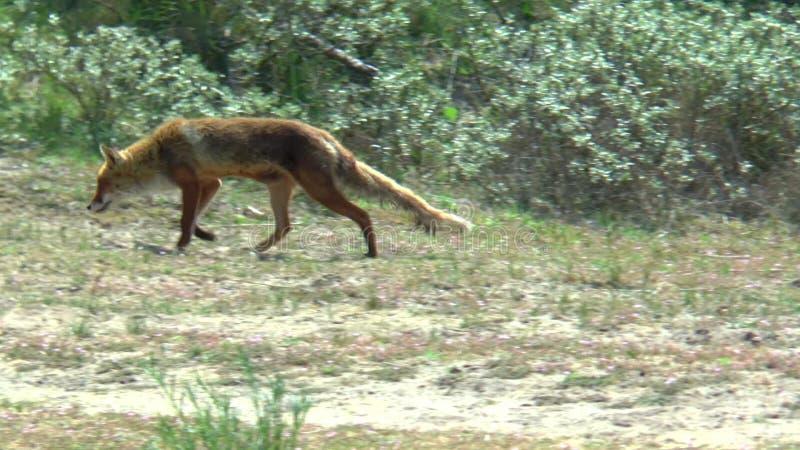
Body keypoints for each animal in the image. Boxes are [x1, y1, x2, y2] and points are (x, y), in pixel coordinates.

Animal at [87, 117, 471, 257]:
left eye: (101, 183)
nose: (89, 206)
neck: (160, 152)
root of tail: (326, 135)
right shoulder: (211, 181)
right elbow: (194, 219)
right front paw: (204, 236)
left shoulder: (192, 182)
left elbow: (184, 220)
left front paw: (180, 246)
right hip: (280, 190)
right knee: (286, 226)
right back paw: (260, 249)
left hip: (319, 192)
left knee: (362, 214)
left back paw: (372, 252)